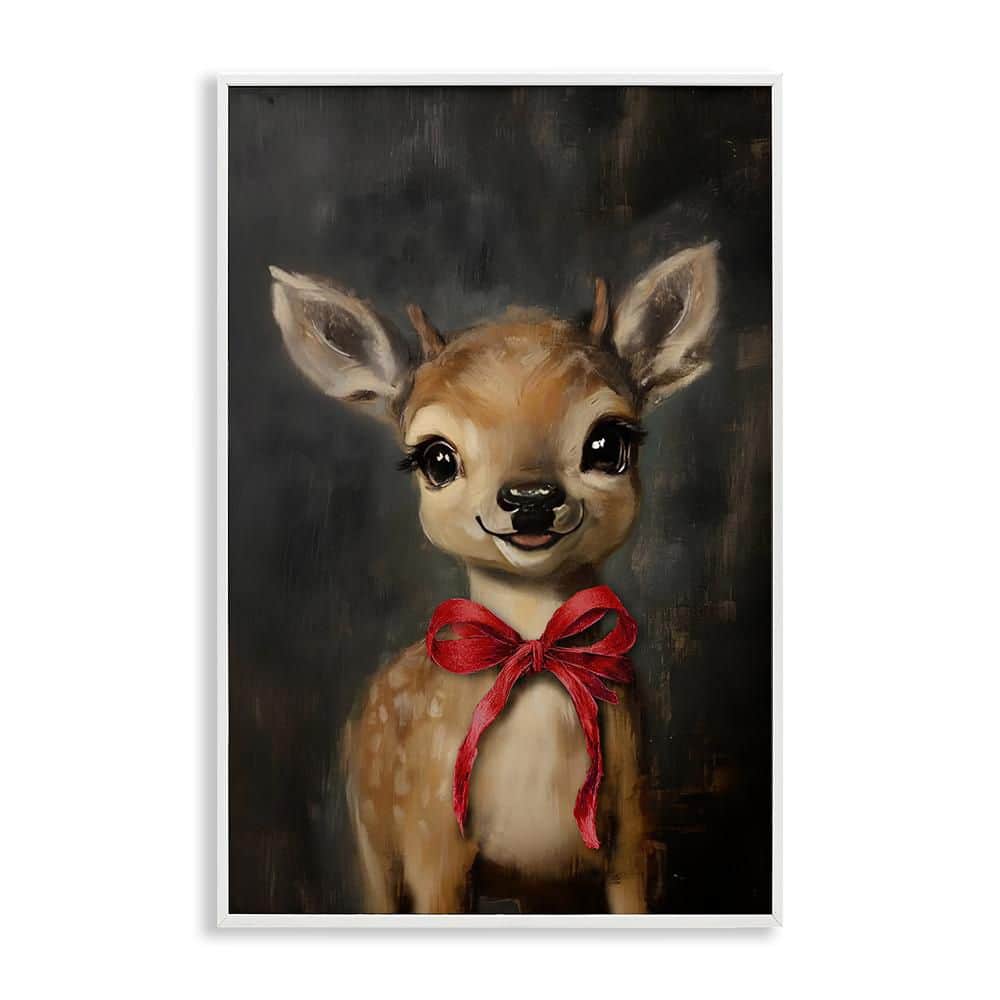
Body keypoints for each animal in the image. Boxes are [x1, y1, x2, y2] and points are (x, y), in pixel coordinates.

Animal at [269, 242, 720, 914]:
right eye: (436, 458)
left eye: (608, 443)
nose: (530, 499)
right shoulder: (431, 838)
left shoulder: (634, 833)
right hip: (371, 833)